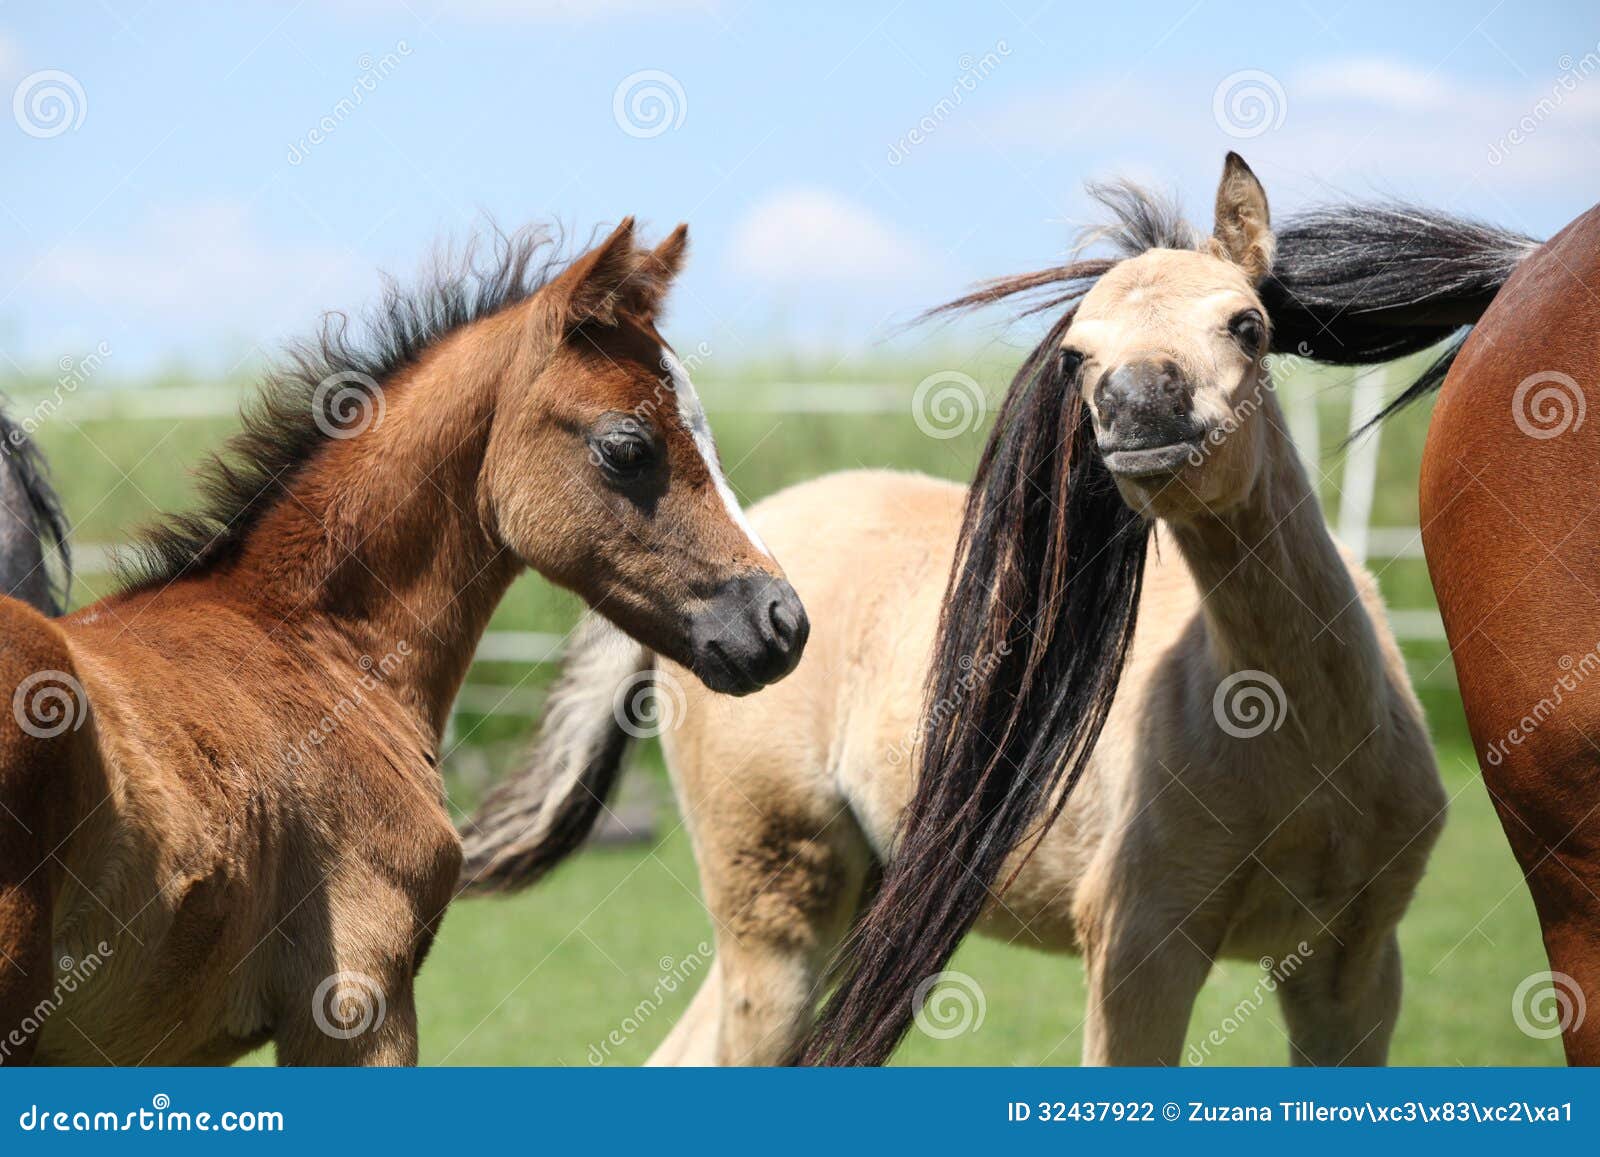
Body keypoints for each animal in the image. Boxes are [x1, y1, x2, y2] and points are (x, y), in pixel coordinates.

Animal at [462, 154, 1509, 1065]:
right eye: (1080, 354)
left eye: (1247, 323)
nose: (1138, 406)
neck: (1297, 736)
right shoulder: (1140, 950)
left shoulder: (1353, 969)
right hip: (781, 911)